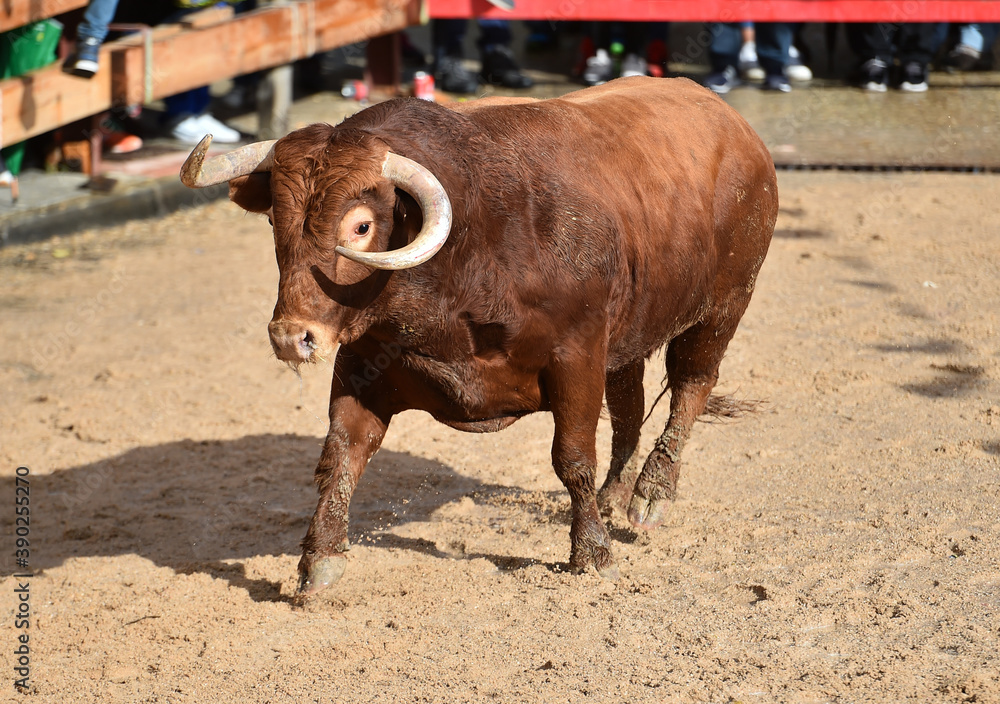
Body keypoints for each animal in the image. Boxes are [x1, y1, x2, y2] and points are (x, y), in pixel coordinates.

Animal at [180, 76, 777, 598]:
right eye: (275, 223)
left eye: (360, 226)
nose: (292, 337)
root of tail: (732, 123)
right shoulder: (359, 366)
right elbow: (341, 457)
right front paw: (319, 560)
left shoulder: (577, 356)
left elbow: (572, 457)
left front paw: (592, 553)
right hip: (630, 333)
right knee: (630, 406)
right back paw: (614, 496)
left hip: (723, 307)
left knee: (690, 388)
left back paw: (651, 495)